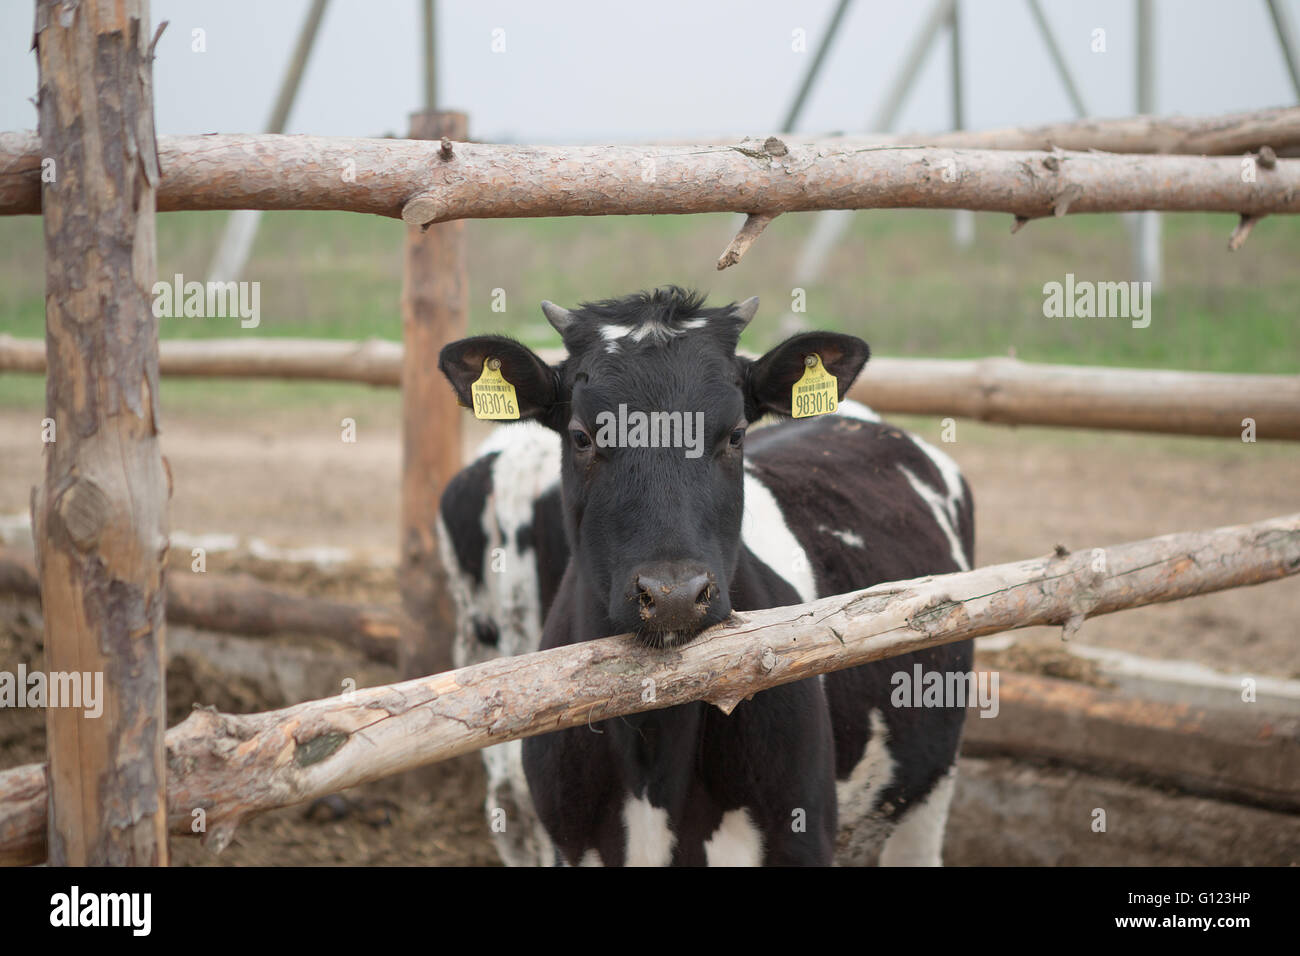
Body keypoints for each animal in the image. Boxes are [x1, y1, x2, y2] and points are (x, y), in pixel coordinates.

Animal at [437, 286, 974, 866]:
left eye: (735, 434)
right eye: (581, 436)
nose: (673, 594)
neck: (652, 761)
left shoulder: (802, 837)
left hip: (930, 784)